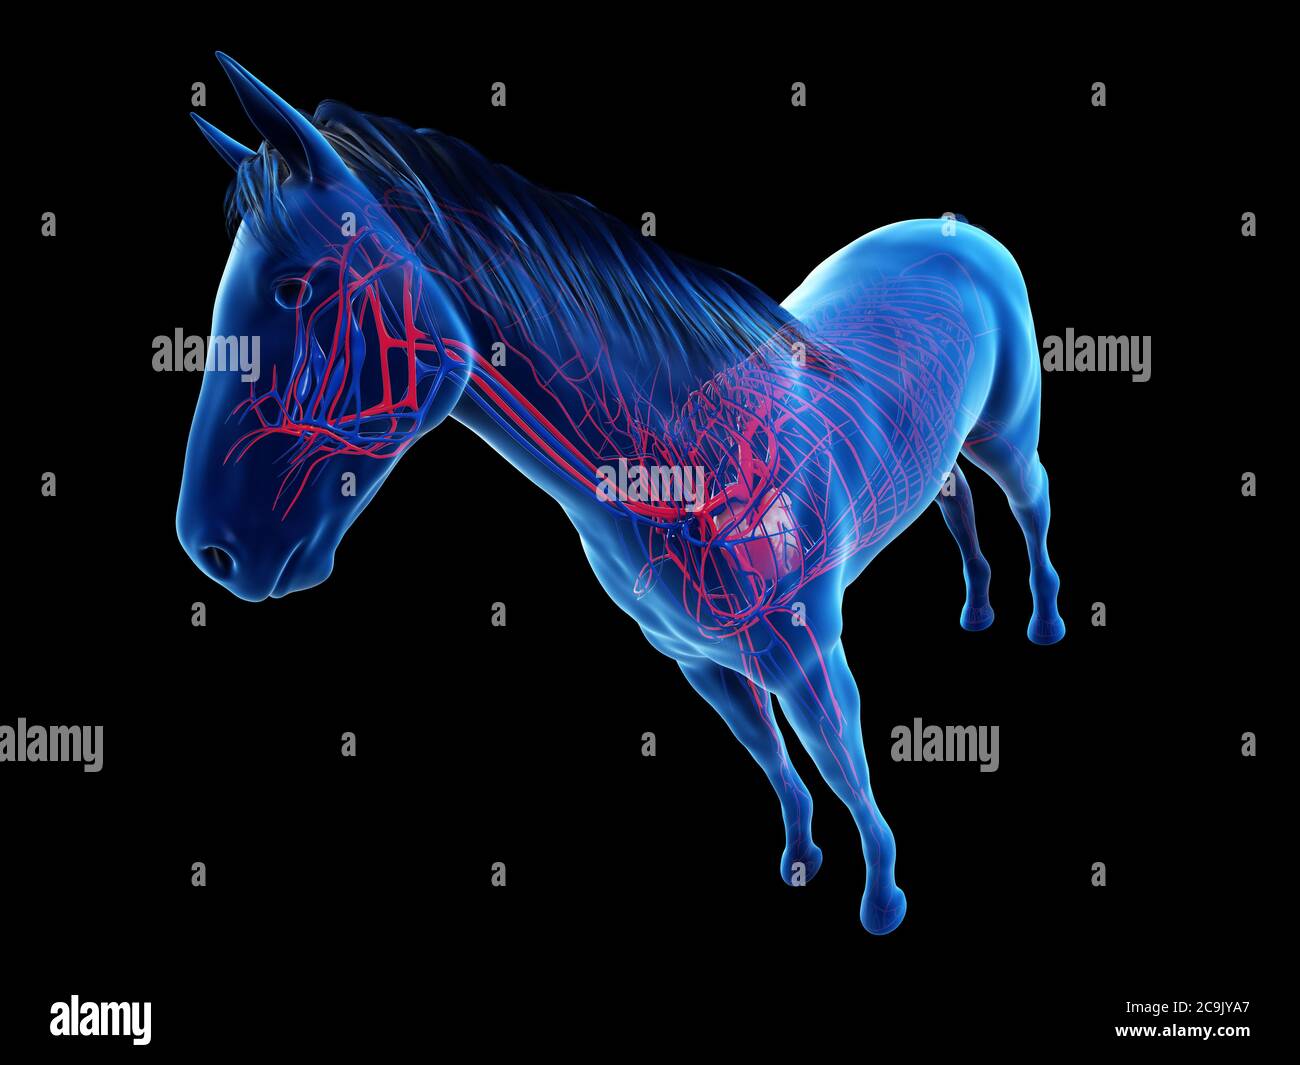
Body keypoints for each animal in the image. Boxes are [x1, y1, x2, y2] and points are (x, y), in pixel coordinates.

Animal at [177, 54, 1065, 935]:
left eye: (294, 288)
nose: (213, 549)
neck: (680, 456)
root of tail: (954, 229)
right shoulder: (699, 659)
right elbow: (772, 756)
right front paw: (801, 859)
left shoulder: (808, 649)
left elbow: (842, 758)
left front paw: (882, 899)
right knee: (954, 499)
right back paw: (976, 608)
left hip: (1005, 434)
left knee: (1030, 503)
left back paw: (1043, 622)